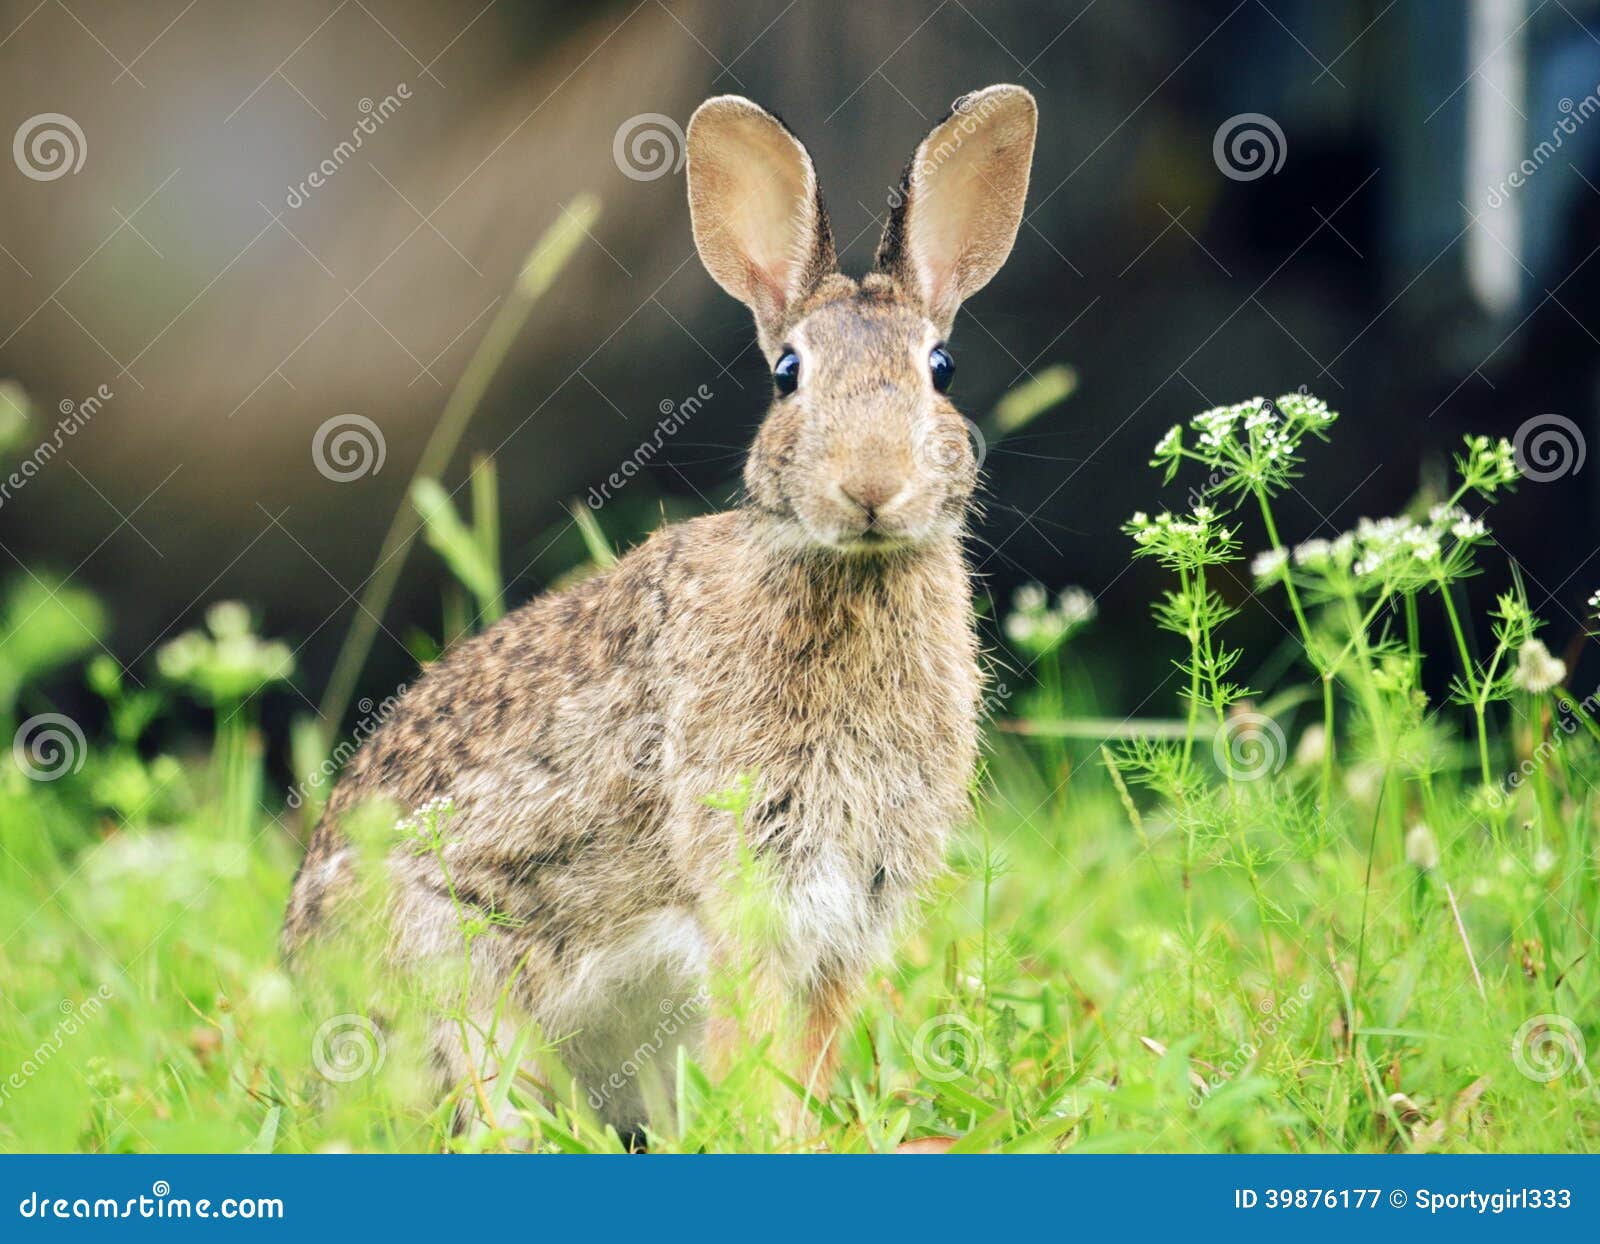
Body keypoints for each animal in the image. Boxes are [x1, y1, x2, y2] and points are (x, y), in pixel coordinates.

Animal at [282, 83, 1037, 1142]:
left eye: (943, 368)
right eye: (787, 376)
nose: (871, 485)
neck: (850, 572)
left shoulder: (848, 911)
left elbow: (812, 1044)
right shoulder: (748, 878)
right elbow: (754, 1038)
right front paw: (772, 1138)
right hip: (451, 971)